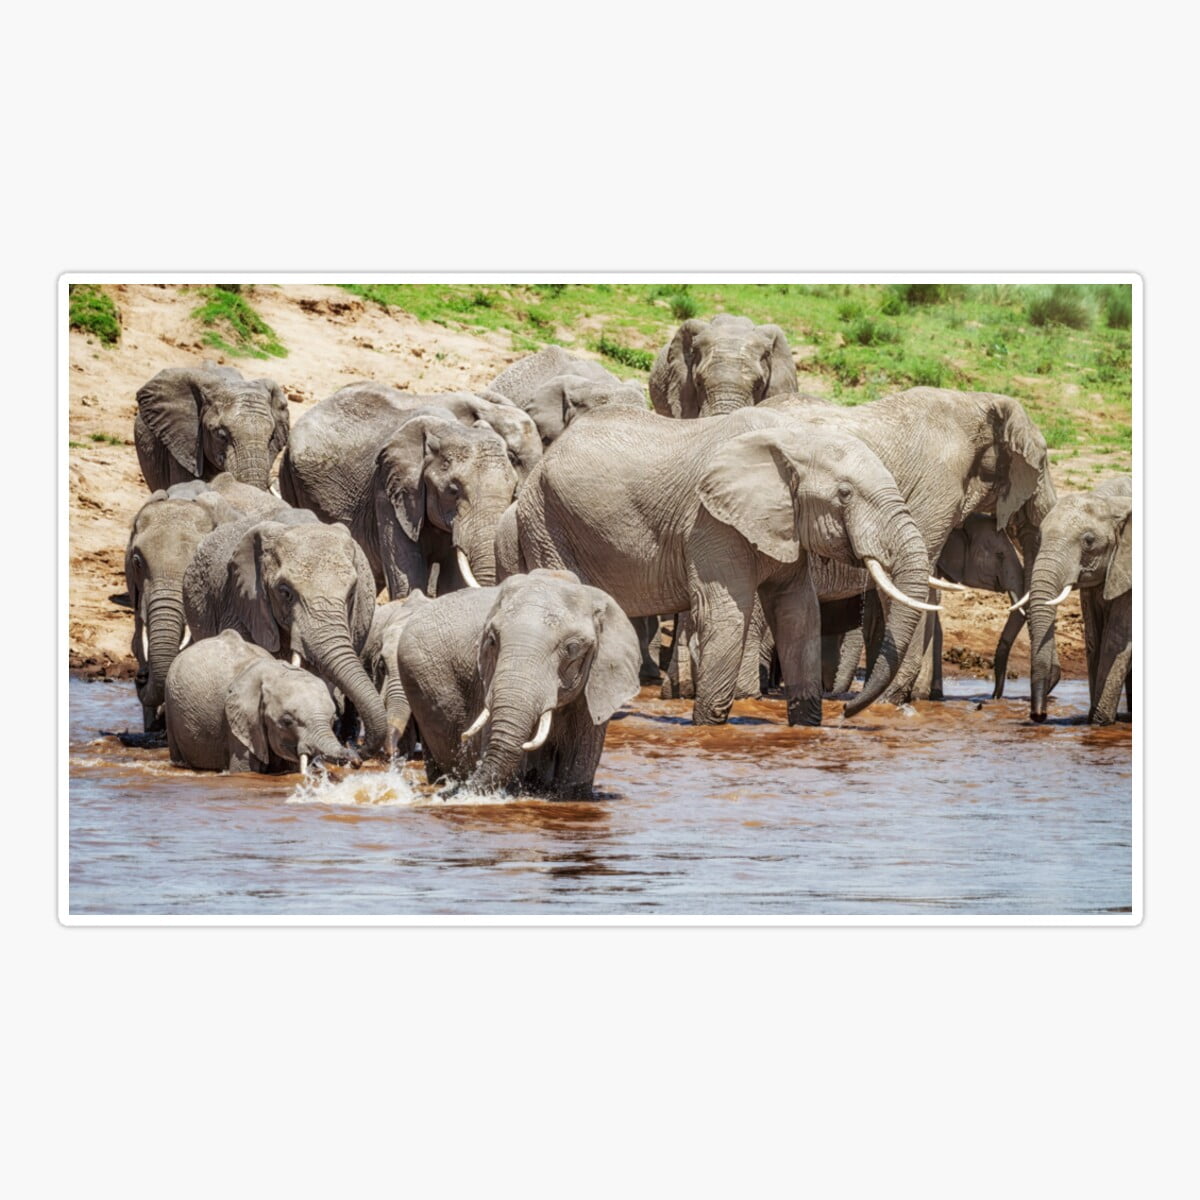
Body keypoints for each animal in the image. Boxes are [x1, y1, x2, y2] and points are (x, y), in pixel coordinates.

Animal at [165, 630, 358, 773]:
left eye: (333, 720)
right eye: (287, 721)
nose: (356, 761)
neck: (275, 673)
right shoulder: (239, 724)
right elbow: (245, 770)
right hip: (171, 708)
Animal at [279, 386, 521, 597]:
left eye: (513, 491)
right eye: (453, 490)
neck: (448, 429)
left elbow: (452, 583)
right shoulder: (388, 488)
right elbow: (407, 576)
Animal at [513, 404, 937, 726]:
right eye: (845, 494)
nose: (847, 712)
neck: (794, 438)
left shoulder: (783, 526)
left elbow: (798, 613)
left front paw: (805, 728)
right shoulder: (709, 521)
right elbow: (726, 615)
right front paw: (708, 729)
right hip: (545, 518)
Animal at [1024, 476, 1132, 725]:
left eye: (1089, 541)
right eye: (1039, 537)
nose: (1039, 716)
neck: (1109, 503)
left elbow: (1116, 639)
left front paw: (1100, 723)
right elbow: (1094, 638)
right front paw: (1094, 721)